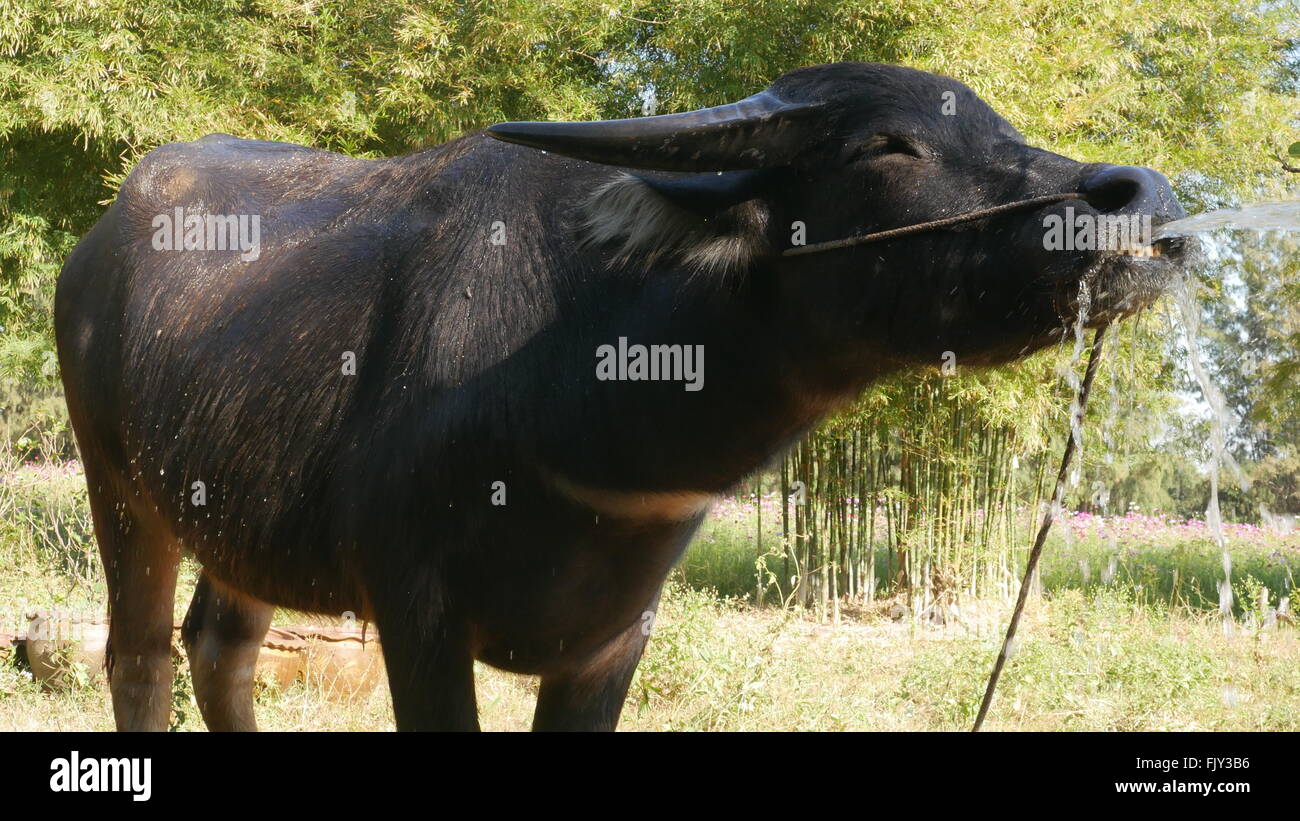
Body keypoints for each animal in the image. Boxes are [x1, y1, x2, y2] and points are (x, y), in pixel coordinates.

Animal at [54, 62, 1186, 731]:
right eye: (885, 145)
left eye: (999, 121)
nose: (1139, 197)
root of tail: (97, 242)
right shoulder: (416, 611)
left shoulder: (612, 637)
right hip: (120, 486)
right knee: (141, 655)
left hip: (233, 515)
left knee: (222, 646)